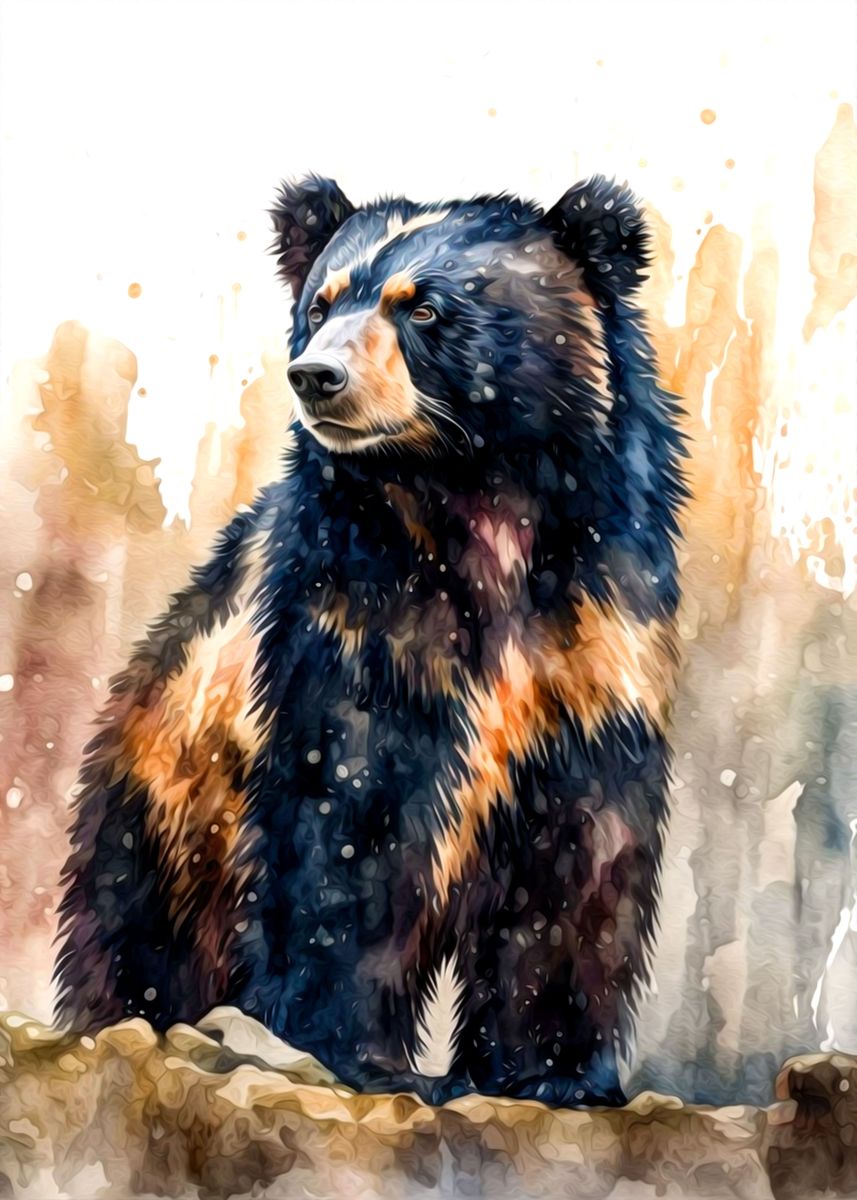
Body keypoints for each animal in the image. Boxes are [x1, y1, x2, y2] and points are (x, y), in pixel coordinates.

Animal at [54, 174, 686, 1107]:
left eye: (423, 307)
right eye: (320, 303)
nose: (317, 374)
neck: (475, 491)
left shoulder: (595, 634)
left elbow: (577, 850)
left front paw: (553, 1073)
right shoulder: (357, 623)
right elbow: (350, 824)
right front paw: (352, 1052)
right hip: (162, 812)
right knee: (138, 940)